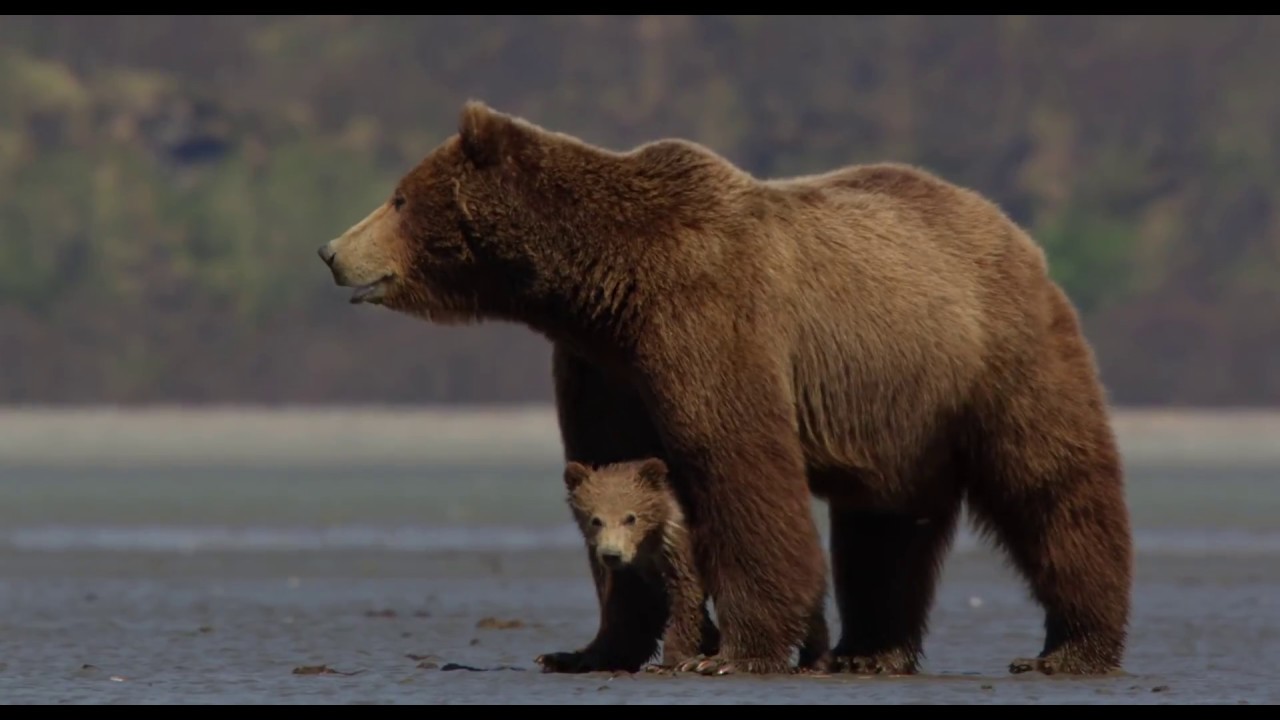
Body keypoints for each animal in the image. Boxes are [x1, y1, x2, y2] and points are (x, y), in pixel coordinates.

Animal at [535, 457, 830, 675]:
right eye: (595, 519)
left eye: (630, 518)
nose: (611, 555)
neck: (649, 541)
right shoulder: (642, 569)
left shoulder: (678, 548)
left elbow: (686, 596)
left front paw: (672, 661)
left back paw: (814, 660)